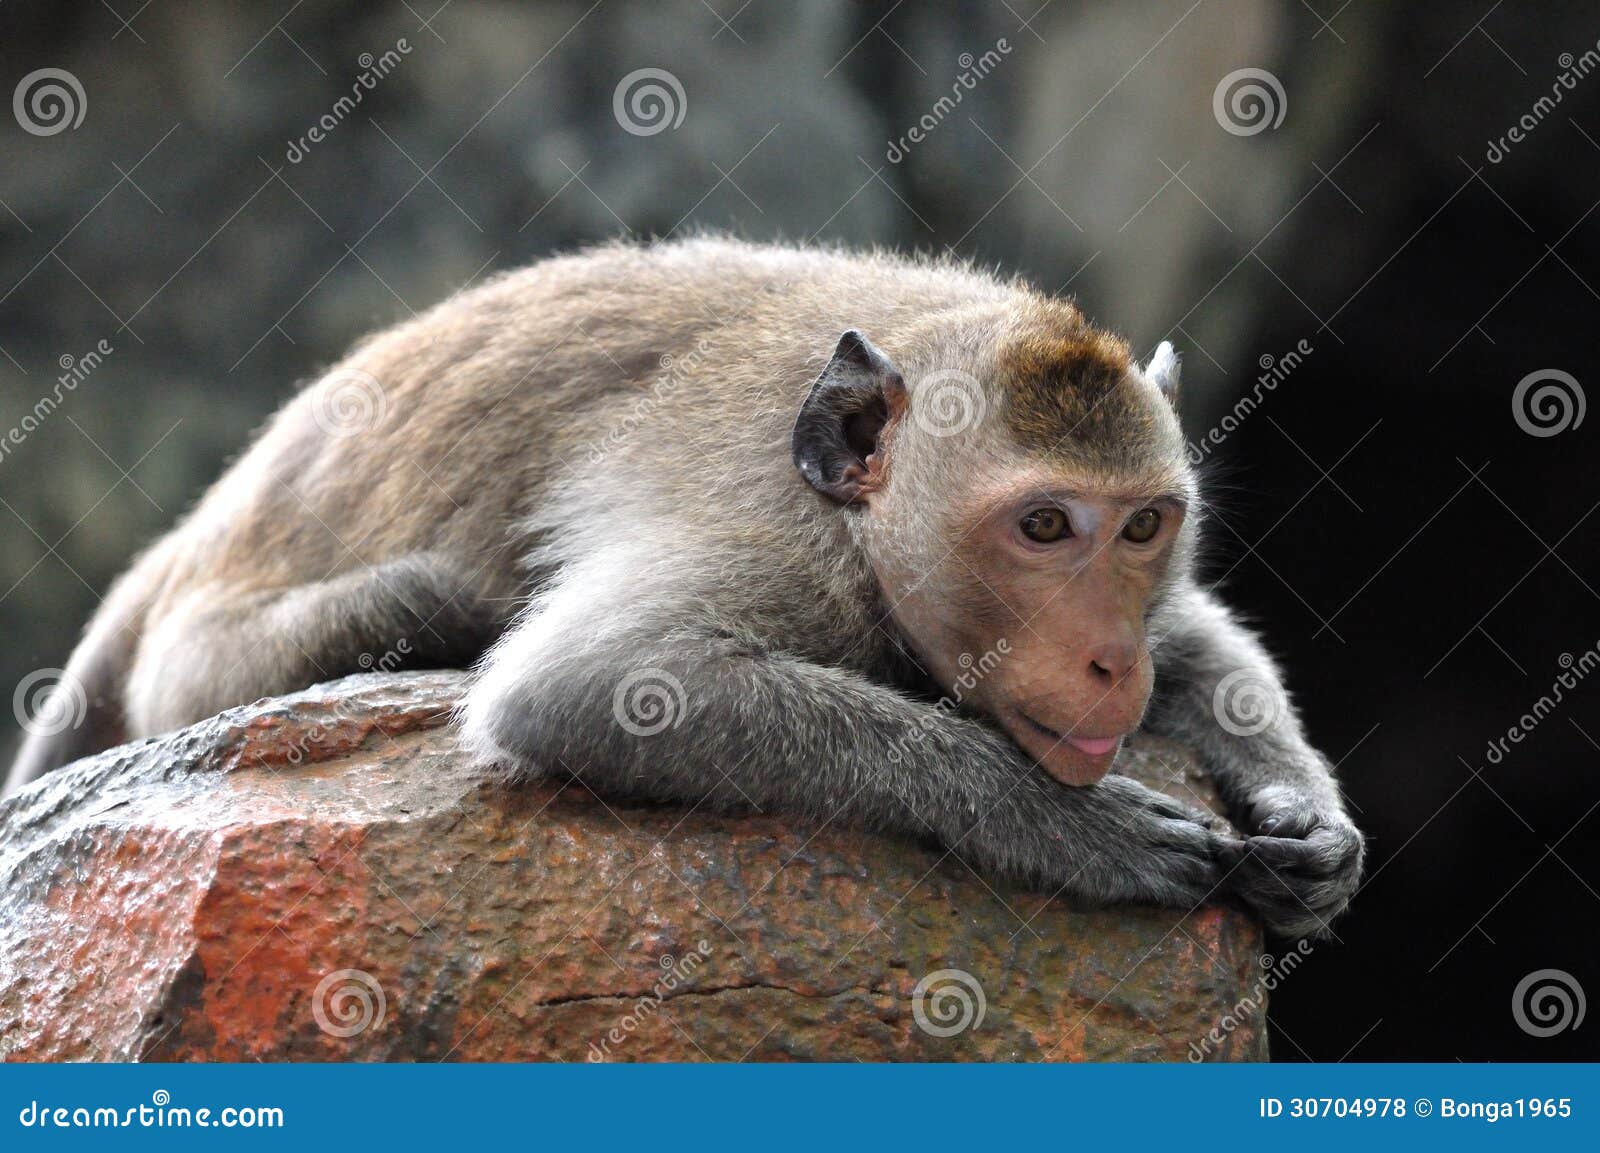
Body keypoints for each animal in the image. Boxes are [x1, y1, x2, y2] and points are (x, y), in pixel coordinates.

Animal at [5, 237, 1362, 938]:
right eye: (1042, 526)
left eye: (1141, 525)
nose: (1107, 660)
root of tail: (183, 541)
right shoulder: (769, 535)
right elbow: (592, 685)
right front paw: (1059, 825)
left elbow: (1194, 632)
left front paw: (1305, 817)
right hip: (208, 650)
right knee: (428, 599)